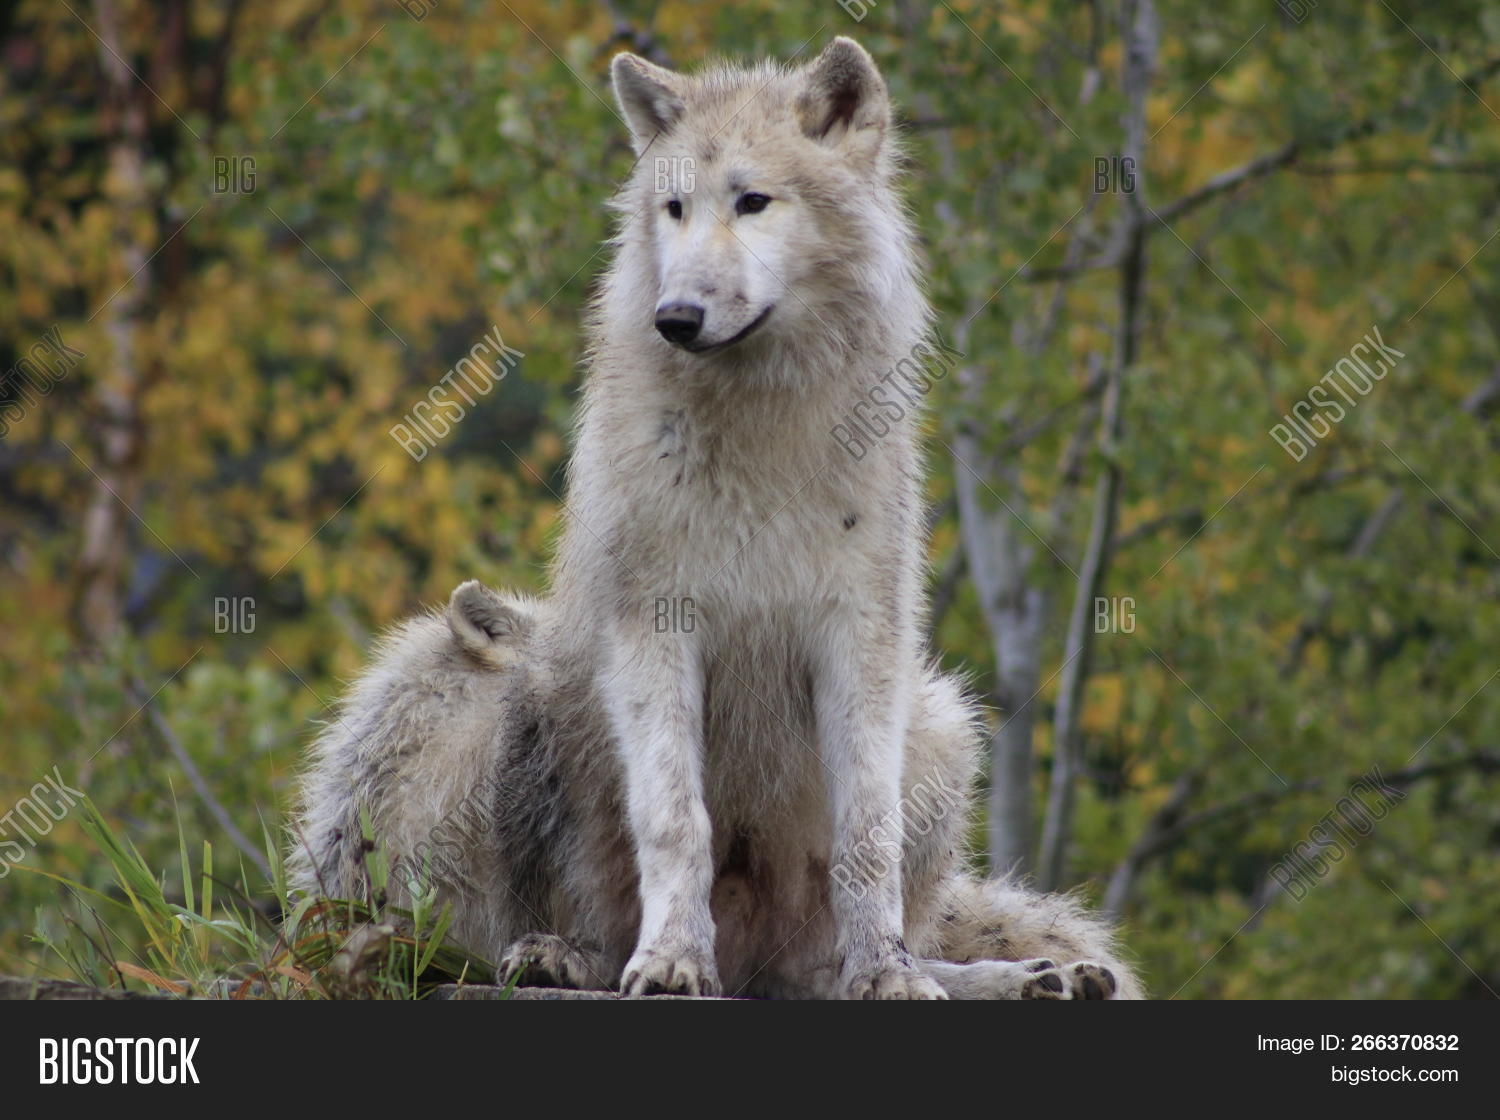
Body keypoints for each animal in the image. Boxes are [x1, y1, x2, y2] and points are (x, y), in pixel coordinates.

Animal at [290, 38, 1142, 1000]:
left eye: (752, 201)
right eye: (674, 208)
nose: (677, 316)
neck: (761, 434)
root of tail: (754, 962)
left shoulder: (862, 632)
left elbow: (867, 840)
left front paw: (887, 974)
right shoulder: (655, 626)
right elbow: (675, 819)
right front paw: (669, 961)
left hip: (941, 725)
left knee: (838, 965)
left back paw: (1034, 975)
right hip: (552, 702)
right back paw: (566, 954)